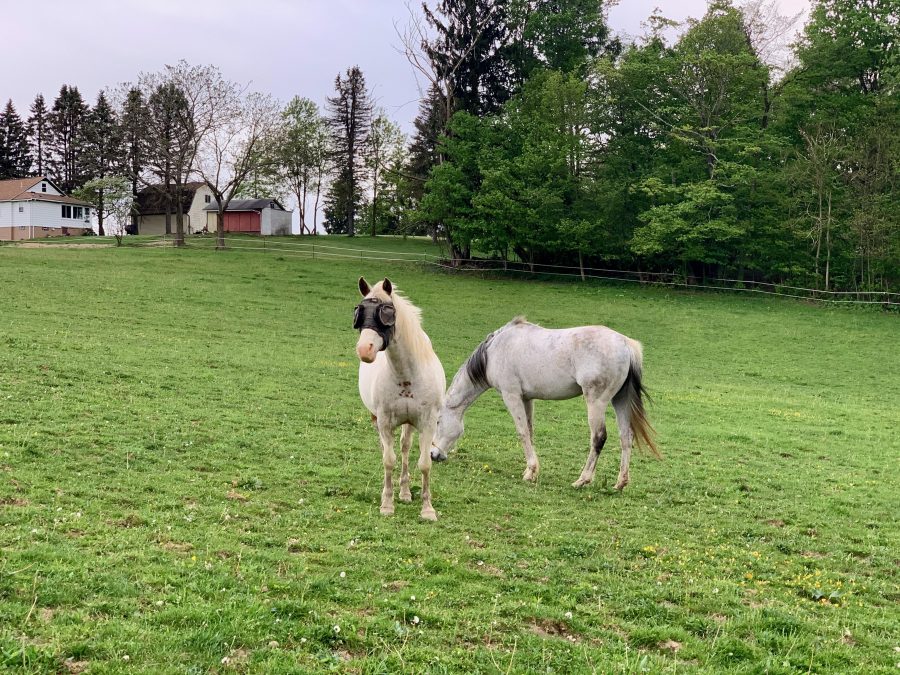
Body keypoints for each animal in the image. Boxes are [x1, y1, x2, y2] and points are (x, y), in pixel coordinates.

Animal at [354, 277, 446, 520]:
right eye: (359, 312)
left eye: (386, 312)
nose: (364, 349)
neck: (406, 376)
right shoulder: (385, 422)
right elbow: (388, 460)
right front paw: (387, 504)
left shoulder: (428, 423)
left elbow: (424, 464)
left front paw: (427, 509)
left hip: (409, 424)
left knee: (405, 448)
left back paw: (405, 492)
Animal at [430, 317, 658, 490]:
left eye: (438, 422)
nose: (433, 454)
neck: (494, 351)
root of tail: (626, 345)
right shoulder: (526, 398)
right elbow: (530, 432)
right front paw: (531, 469)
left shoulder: (511, 396)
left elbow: (522, 432)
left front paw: (530, 472)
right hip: (620, 400)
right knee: (626, 437)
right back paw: (620, 483)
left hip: (596, 402)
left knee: (598, 437)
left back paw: (582, 480)